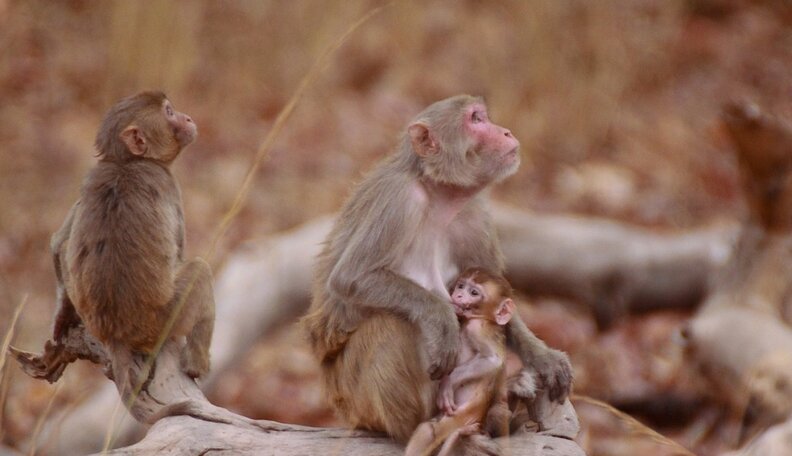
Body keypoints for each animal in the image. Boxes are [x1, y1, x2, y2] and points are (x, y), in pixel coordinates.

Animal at [49, 91, 214, 381]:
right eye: (169, 112)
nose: (187, 118)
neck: (126, 162)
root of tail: (117, 337)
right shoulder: (167, 183)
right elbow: (180, 255)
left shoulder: (91, 177)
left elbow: (59, 243)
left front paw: (63, 314)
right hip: (164, 321)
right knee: (200, 270)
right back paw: (196, 365)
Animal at [405, 268, 516, 456]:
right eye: (461, 286)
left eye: (474, 293)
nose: (458, 295)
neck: (484, 319)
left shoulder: (476, 329)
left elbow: (492, 360)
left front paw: (447, 383)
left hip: (459, 418)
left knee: (429, 430)